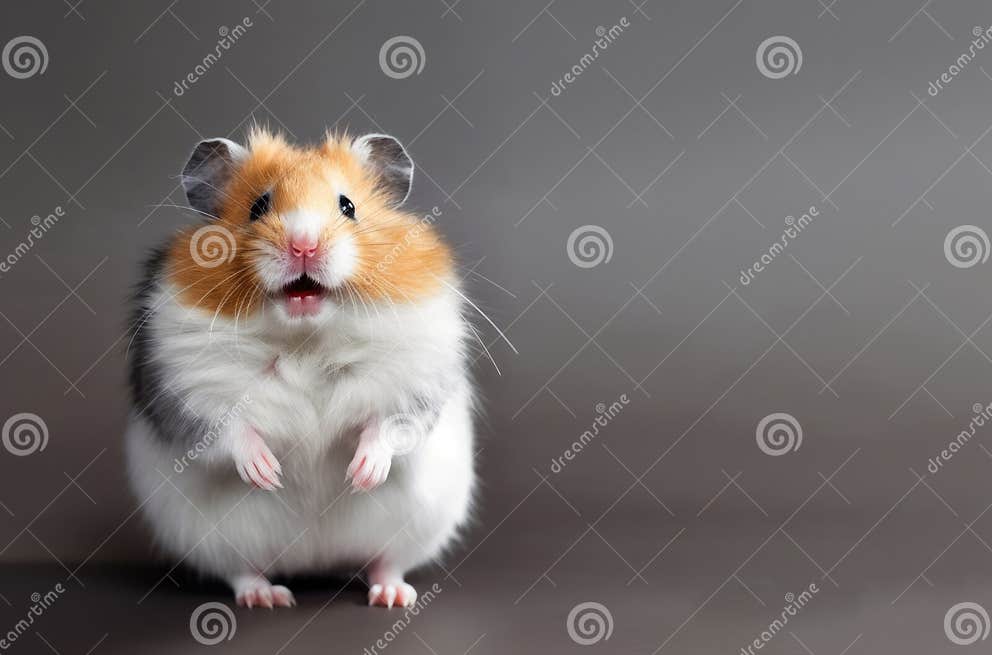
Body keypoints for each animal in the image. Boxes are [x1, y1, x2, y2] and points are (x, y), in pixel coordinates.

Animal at [124, 129, 475, 609]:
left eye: (348, 206)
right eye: (258, 206)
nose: (303, 245)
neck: (305, 338)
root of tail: (316, 561)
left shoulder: (417, 379)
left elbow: (390, 425)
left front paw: (362, 474)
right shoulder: (182, 387)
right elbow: (226, 428)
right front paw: (267, 474)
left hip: (418, 527)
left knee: (386, 561)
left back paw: (392, 595)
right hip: (210, 539)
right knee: (240, 571)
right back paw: (268, 597)